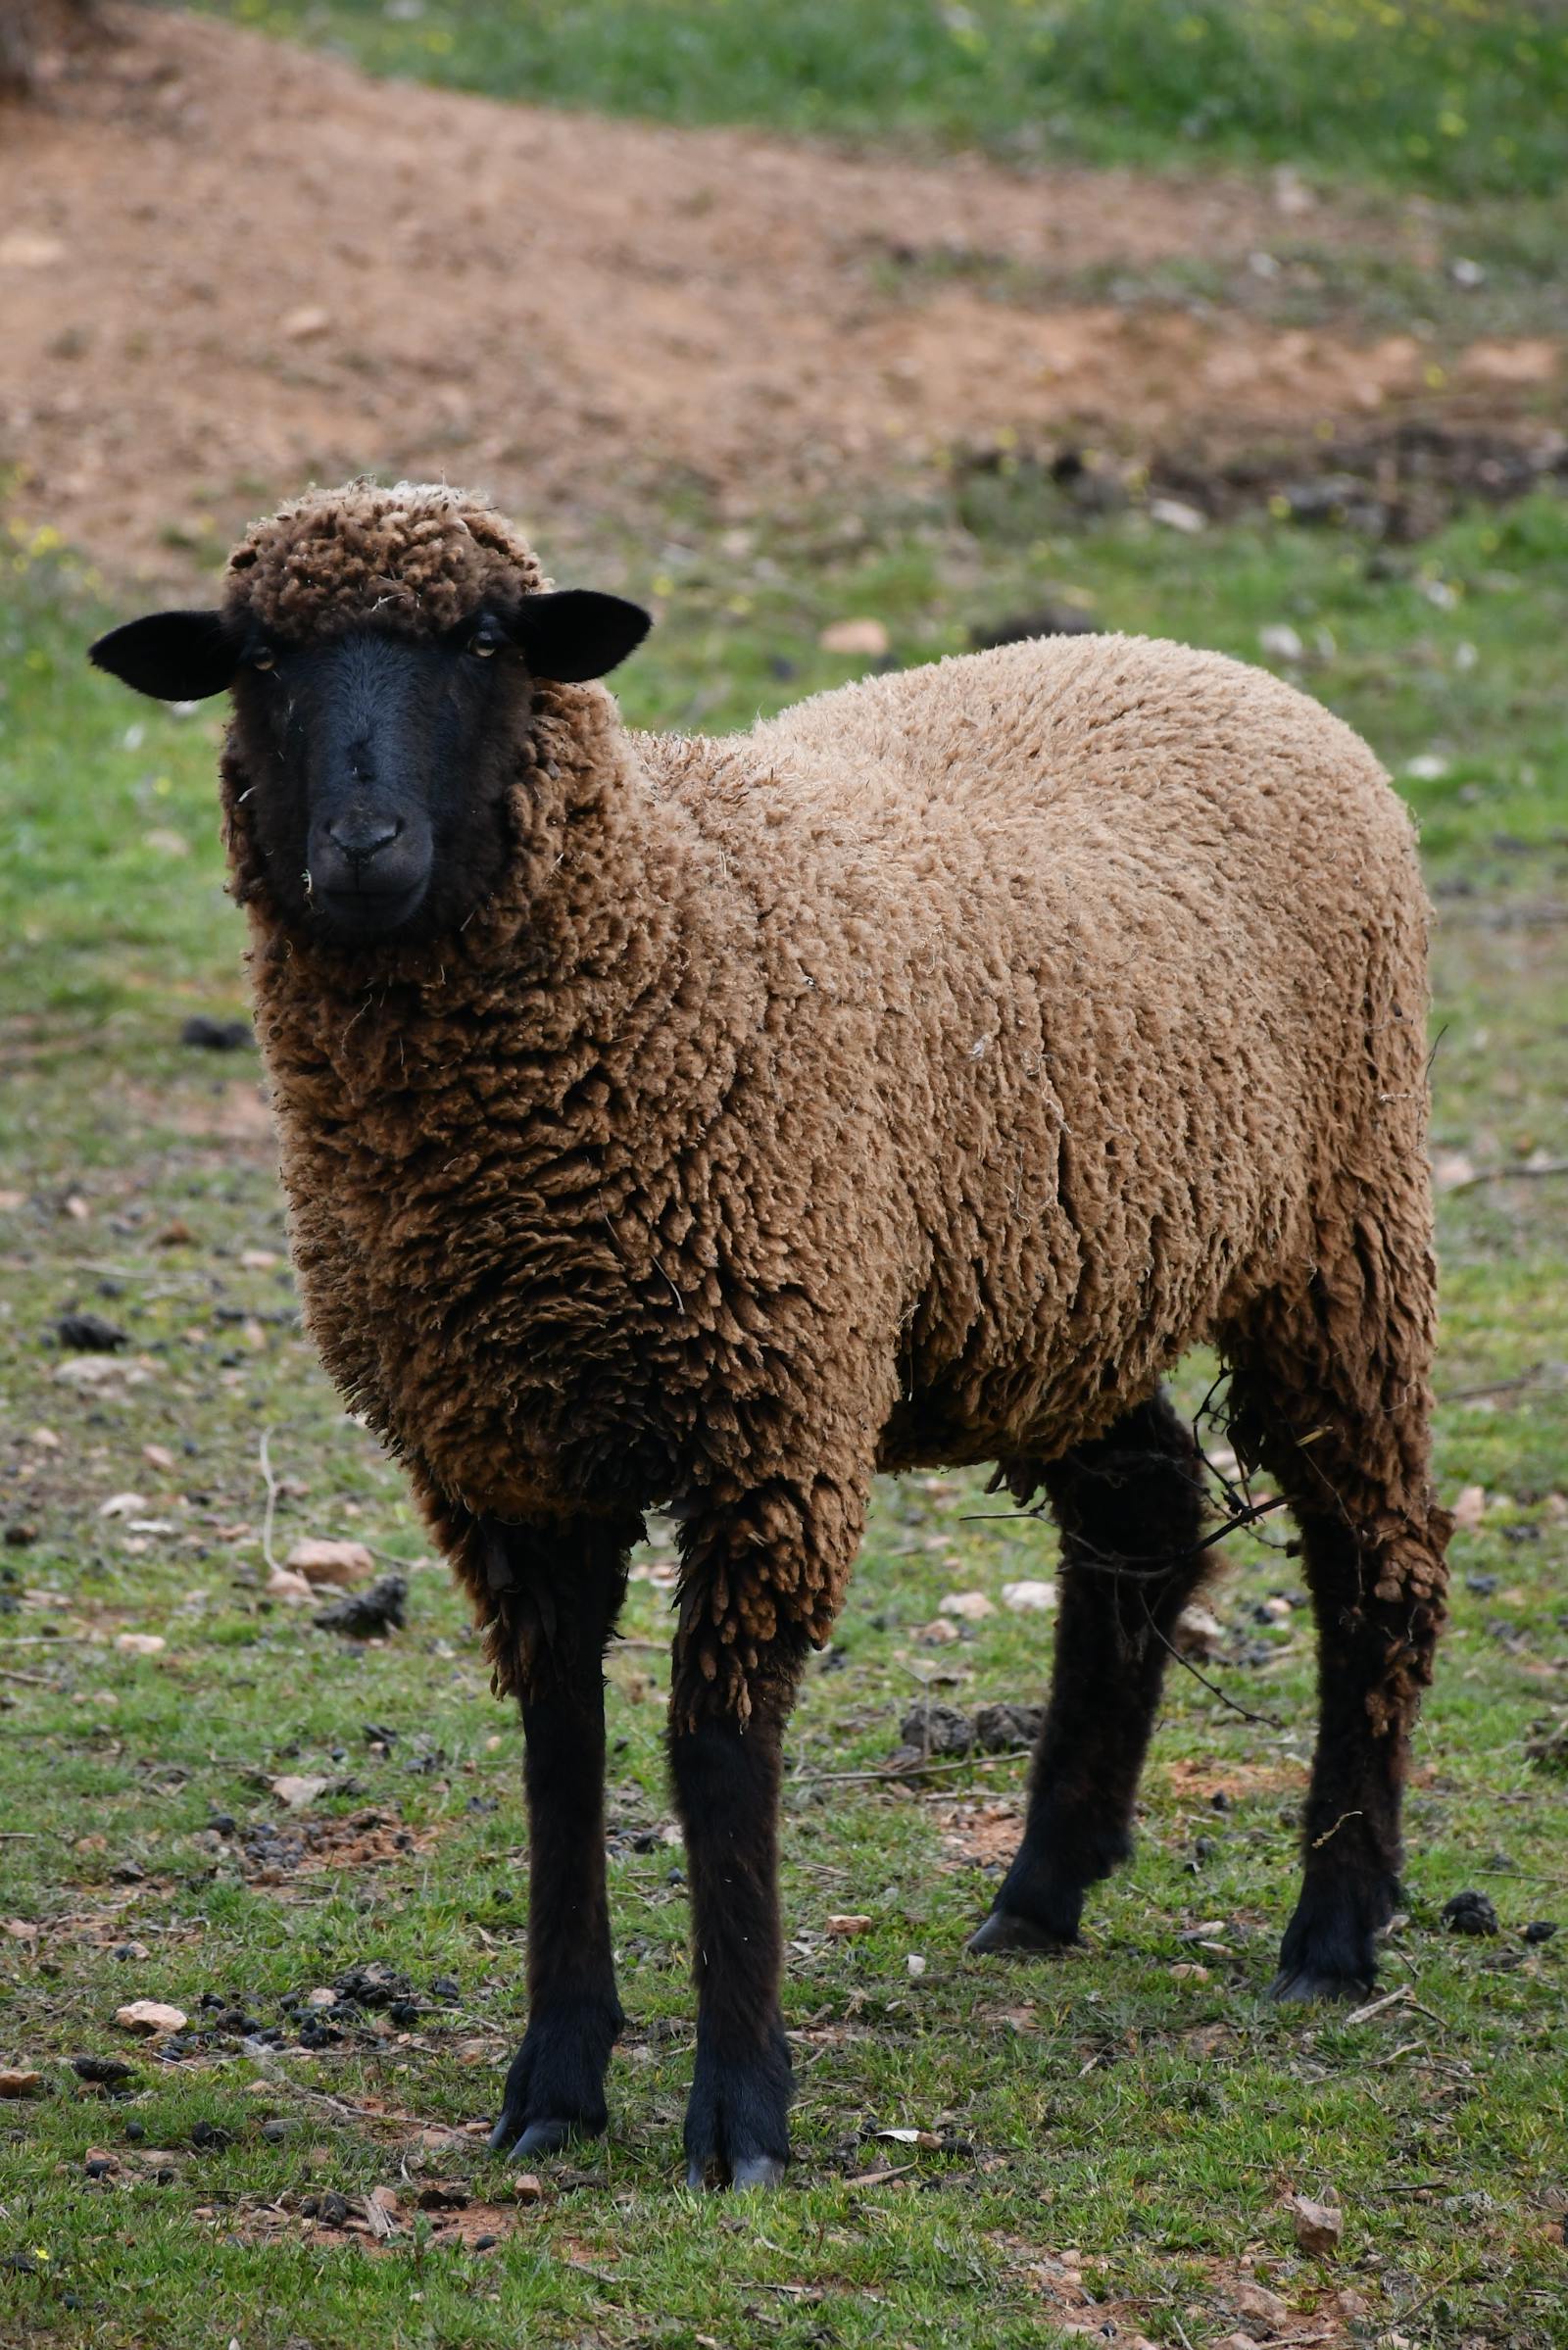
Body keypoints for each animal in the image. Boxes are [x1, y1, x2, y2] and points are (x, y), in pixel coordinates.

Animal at [91, 477, 1452, 2190]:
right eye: (259, 658)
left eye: (485, 642)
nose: (362, 848)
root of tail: (1204, 660)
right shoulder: (501, 1451)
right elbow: (560, 1755)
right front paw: (554, 2081)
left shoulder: (771, 1414)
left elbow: (716, 1756)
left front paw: (738, 2113)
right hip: (1054, 1288)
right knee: (1145, 1506)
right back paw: (1045, 1885)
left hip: (1338, 1238)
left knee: (1378, 1558)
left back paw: (1335, 1923)